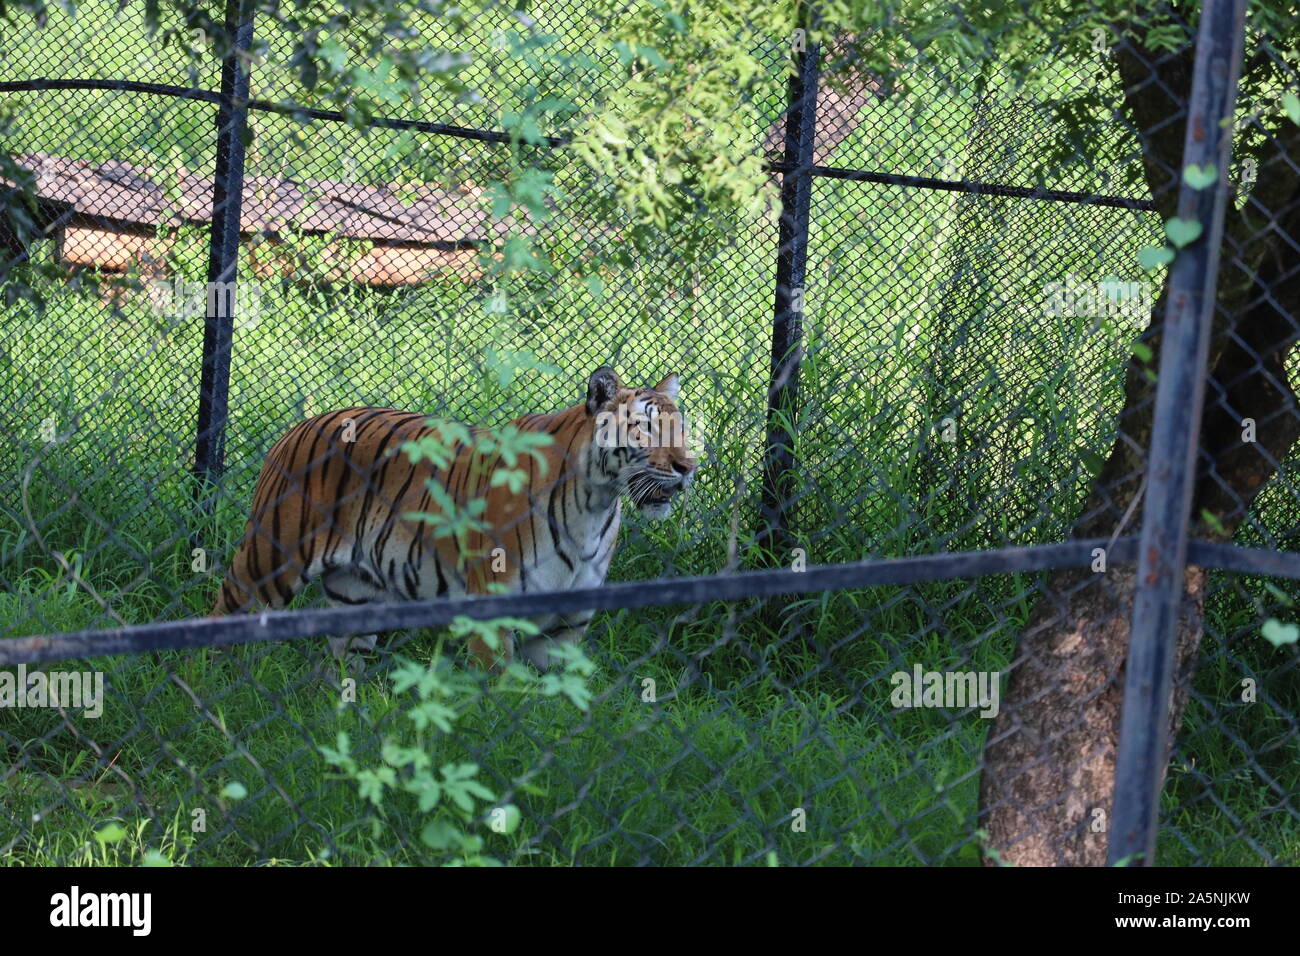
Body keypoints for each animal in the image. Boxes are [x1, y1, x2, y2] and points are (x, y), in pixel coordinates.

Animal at [211, 367, 697, 670]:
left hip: (356, 594)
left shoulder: (566, 628)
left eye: (683, 428)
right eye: (645, 427)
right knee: (222, 617)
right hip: (268, 561)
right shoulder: (493, 615)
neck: (595, 503)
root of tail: (301, 425)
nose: (688, 467)